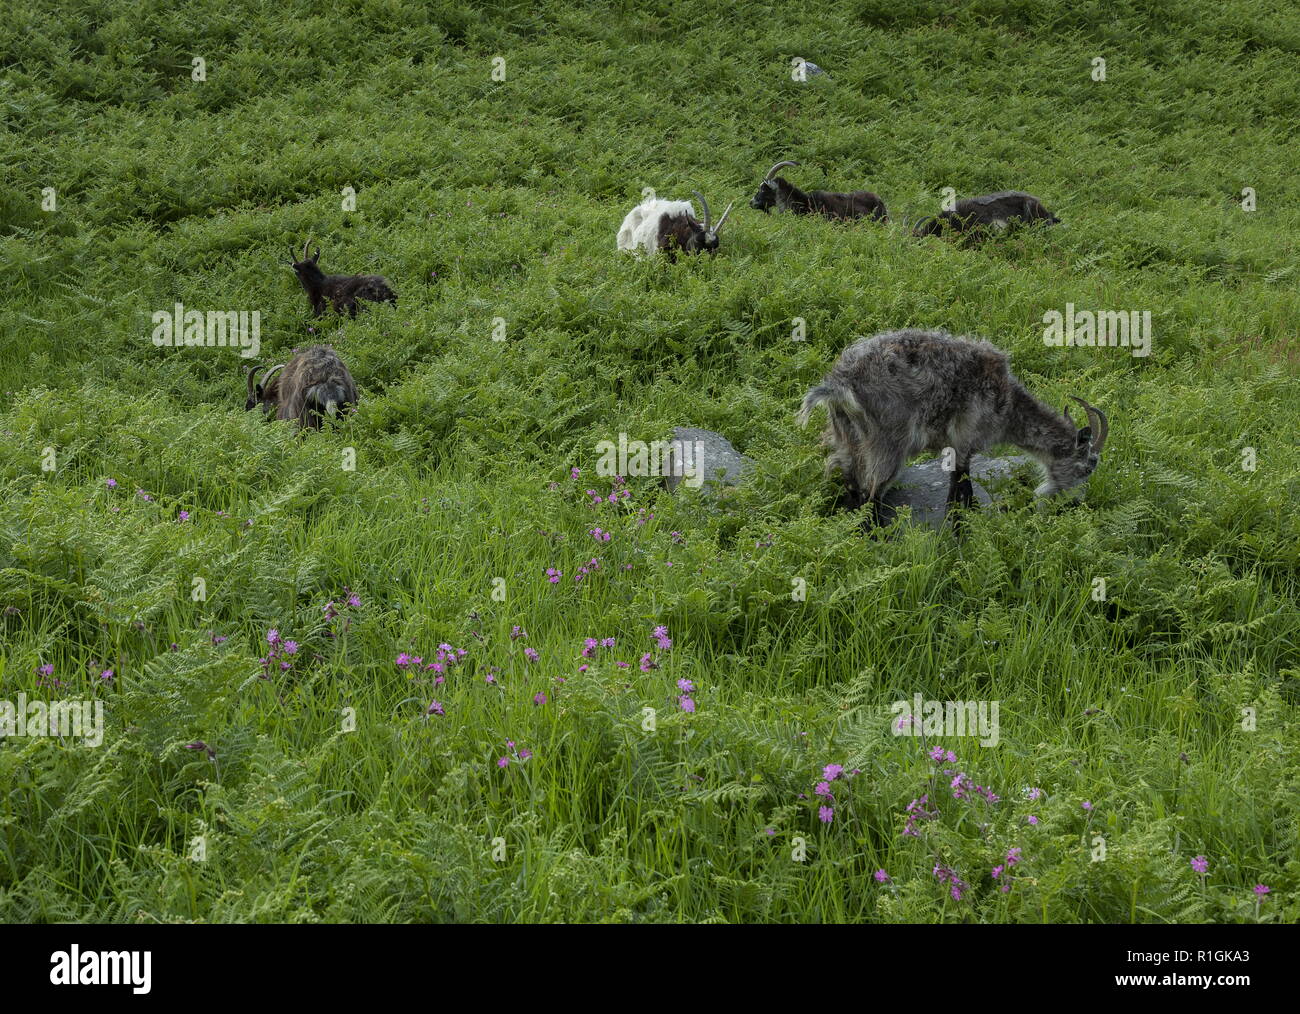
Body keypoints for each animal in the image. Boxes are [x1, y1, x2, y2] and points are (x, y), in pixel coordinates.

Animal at [798, 329, 1108, 527]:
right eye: (1086, 467)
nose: (1073, 504)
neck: (1007, 404)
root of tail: (840, 384)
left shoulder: (955, 445)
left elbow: (954, 484)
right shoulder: (967, 438)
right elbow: (963, 483)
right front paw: (965, 521)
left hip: (846, 434)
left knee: (850, 480)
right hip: (887, 441)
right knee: (872, 492)